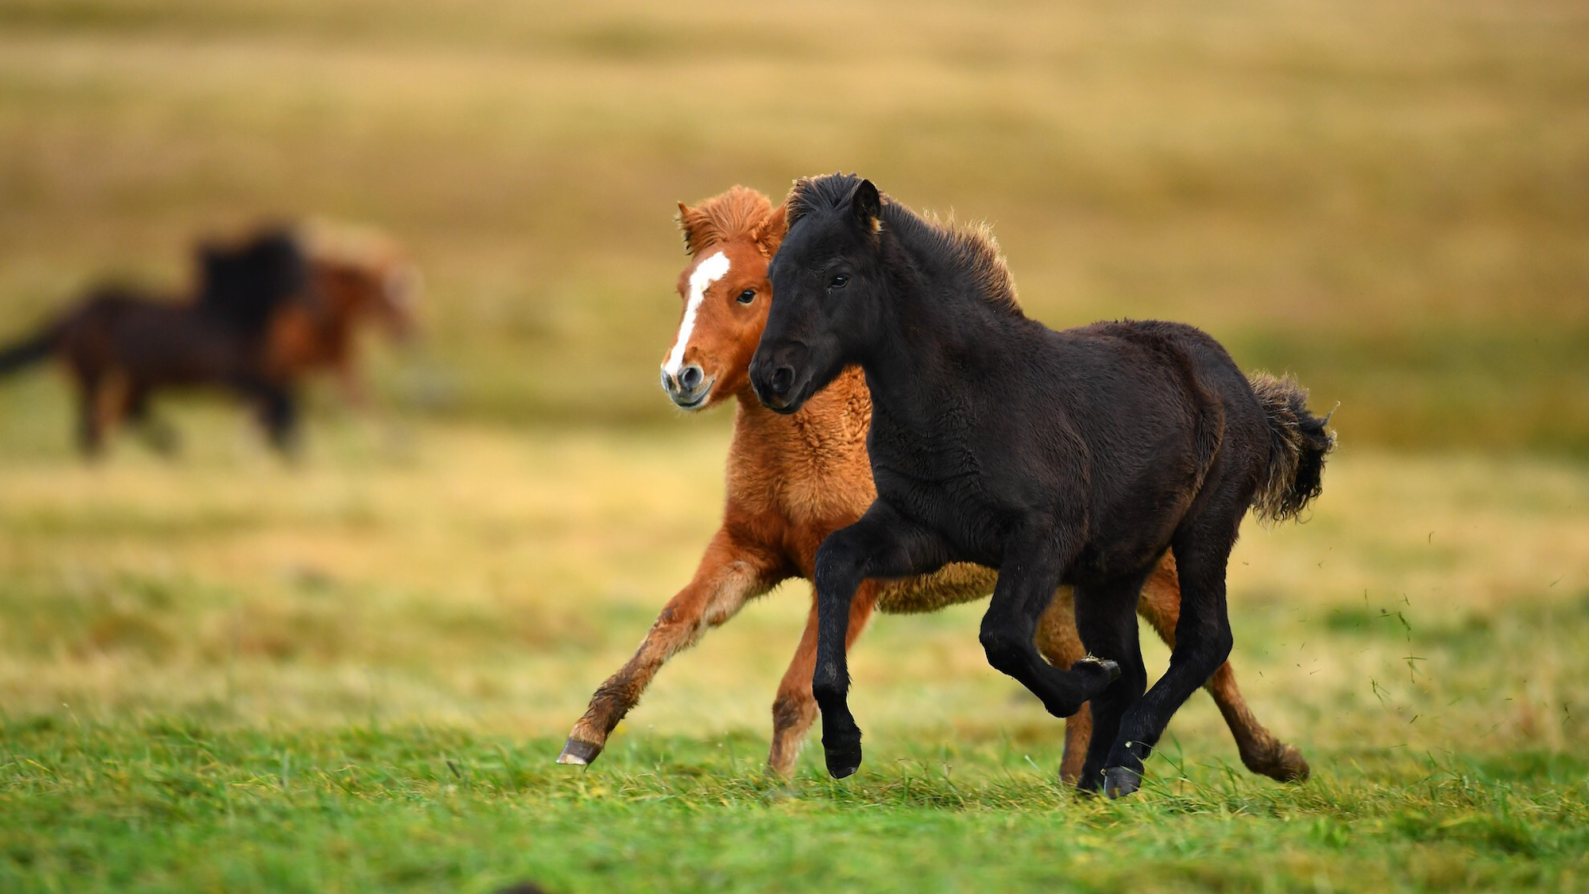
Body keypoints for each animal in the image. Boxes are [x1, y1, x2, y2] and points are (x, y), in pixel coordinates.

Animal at [0, 228, 310, 455]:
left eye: (301, 263)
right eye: (286, 264)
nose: (309, 299)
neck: (236, 312)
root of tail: (65, 313)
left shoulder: (259, 377)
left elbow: (281, 406)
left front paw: (286, 449)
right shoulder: (230, 375)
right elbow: (282, 405)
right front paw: (292, 451)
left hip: (136, 378)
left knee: (121, 415)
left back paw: (166, 445)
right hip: (96, 376)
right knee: (93, 424)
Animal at [560, 185, 1311, 785]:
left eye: (747, 291)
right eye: (684, 289)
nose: (679, 377)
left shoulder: (859, 581)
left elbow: (794, 689)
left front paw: (780, 788)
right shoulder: (750, 552)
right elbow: (670, 627)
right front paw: (583, 739)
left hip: (1156, 564)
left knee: (1207, 654)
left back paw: (1268, 759)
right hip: (1065, 596)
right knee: (1098, 676)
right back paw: (1080, 781)